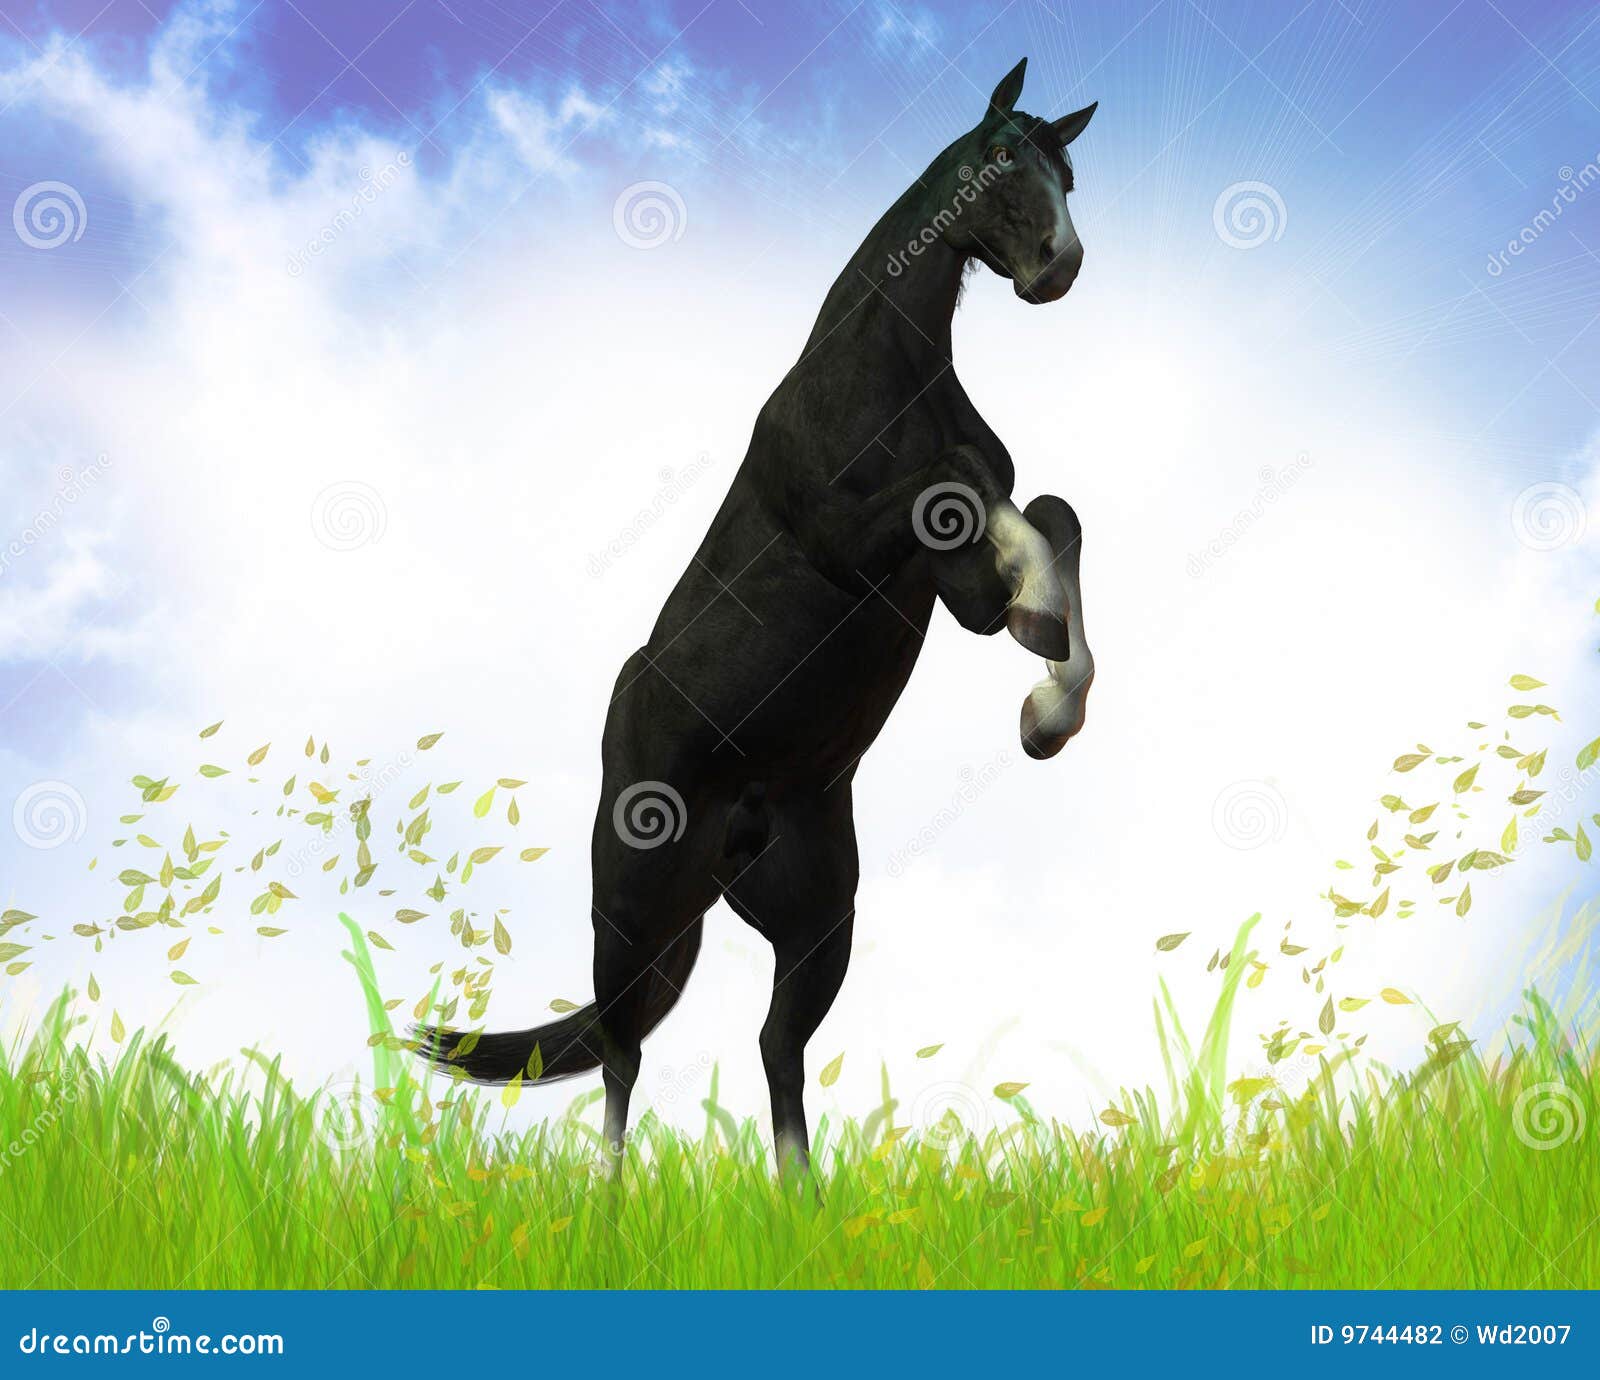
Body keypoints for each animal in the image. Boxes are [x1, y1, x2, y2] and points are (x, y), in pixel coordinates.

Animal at [416, 57, 1098, 1176]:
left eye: (1067, 177)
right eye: (1001, 158)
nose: (1060, 265)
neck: (878, 379)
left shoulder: (947, 575)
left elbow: (1046, 515)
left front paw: (1049, 703)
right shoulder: (856, 542)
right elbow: (963, 484)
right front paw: (1041, 654)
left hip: (816, 916)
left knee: (775, 1045)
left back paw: (801, 1202)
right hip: (633, 901)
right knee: (620, 1051)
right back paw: (607, 1199)